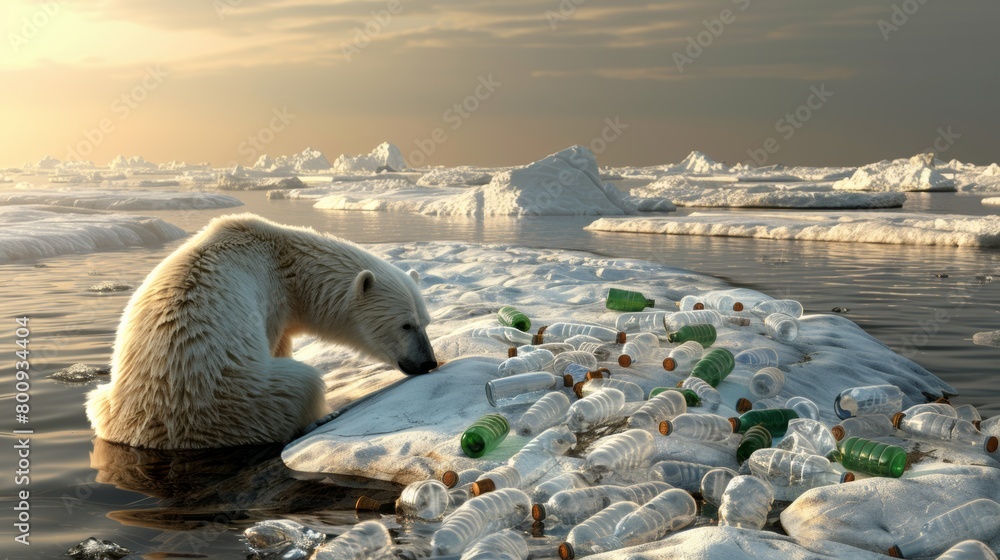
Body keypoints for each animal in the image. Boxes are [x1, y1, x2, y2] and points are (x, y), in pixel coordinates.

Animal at [86, 214, 436, 449]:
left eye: (426, 322)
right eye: (406, 325)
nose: (429, 363)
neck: (286, 261)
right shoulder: (271, 303)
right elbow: (277, 347)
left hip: (105, 401)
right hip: (242, 399)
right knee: (303, 381)